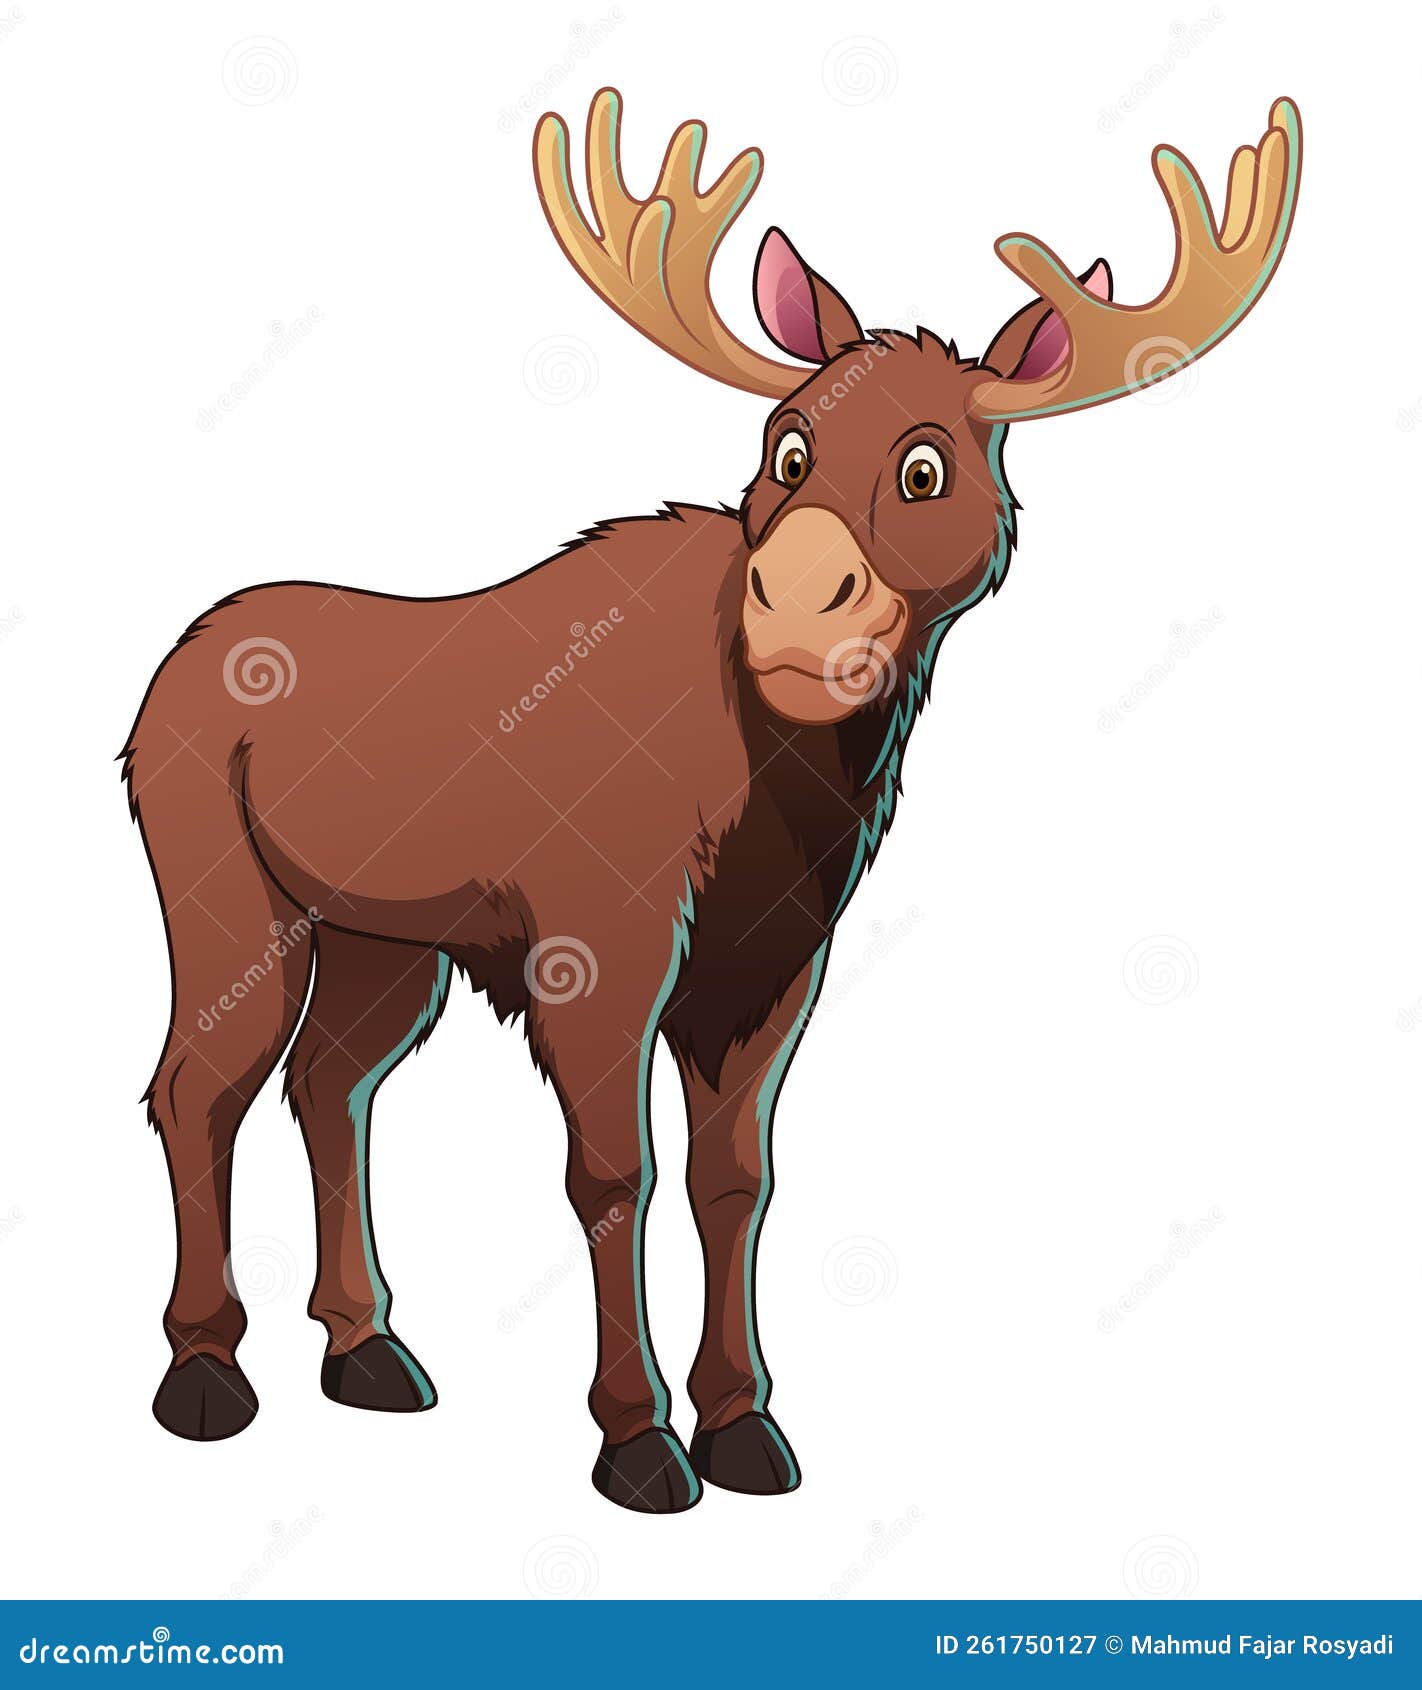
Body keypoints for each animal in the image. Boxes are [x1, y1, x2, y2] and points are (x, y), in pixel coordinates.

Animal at [122, 89, 1299, 1511]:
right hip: (225, 900)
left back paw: (365, 1345)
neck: (781, 799)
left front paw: (743, 1419)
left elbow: (734, 1177)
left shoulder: (774, 961)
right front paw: (635, 1435)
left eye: (926, 467)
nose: (795, 608)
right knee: (197, 1085)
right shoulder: (598, 947)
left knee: (328, 1084)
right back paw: (203, 1369)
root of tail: (159, 684)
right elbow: (611, 1174)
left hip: (381, 939)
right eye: (785, 444)